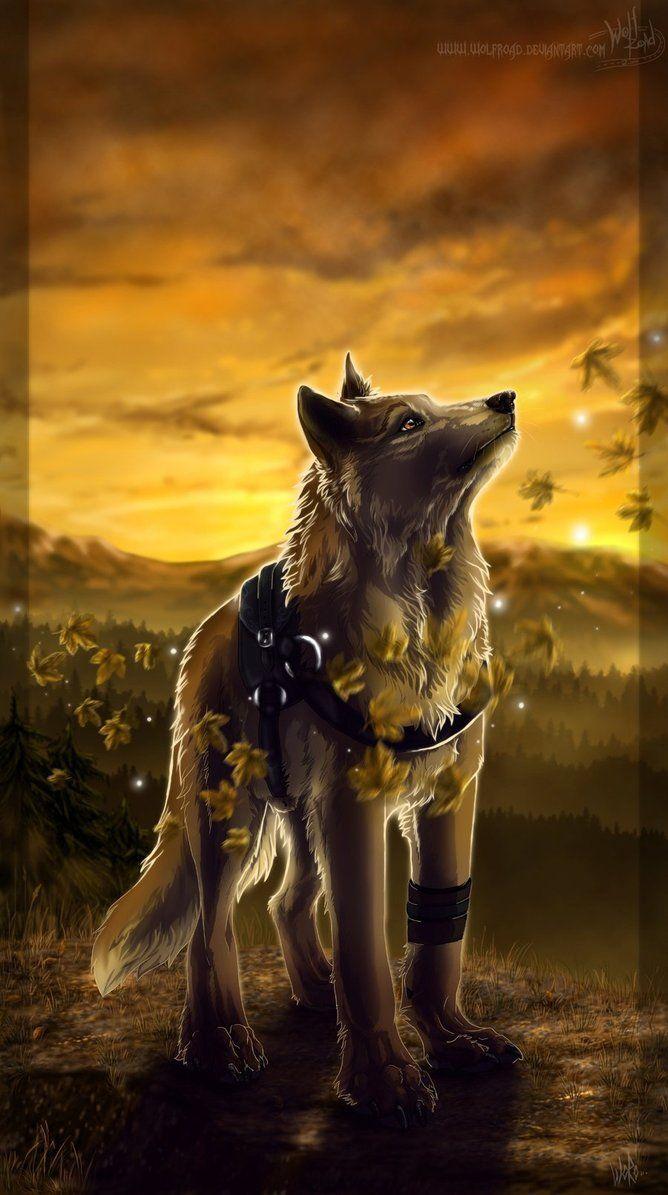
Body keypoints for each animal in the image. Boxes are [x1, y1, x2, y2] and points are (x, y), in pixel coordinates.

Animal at [92, 355, 521, 1127]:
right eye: (408, 422)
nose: (505, 398)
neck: (418, 610)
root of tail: (205, 633)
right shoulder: (355, 804)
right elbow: (365, 947)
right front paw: (384, 1081)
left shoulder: (448, 796)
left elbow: (438, 932)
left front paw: (452, 1039)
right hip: (228, 815)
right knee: (211, 927)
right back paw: (218, 1046)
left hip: (302, 816)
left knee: (285, 902)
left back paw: (313, 992)